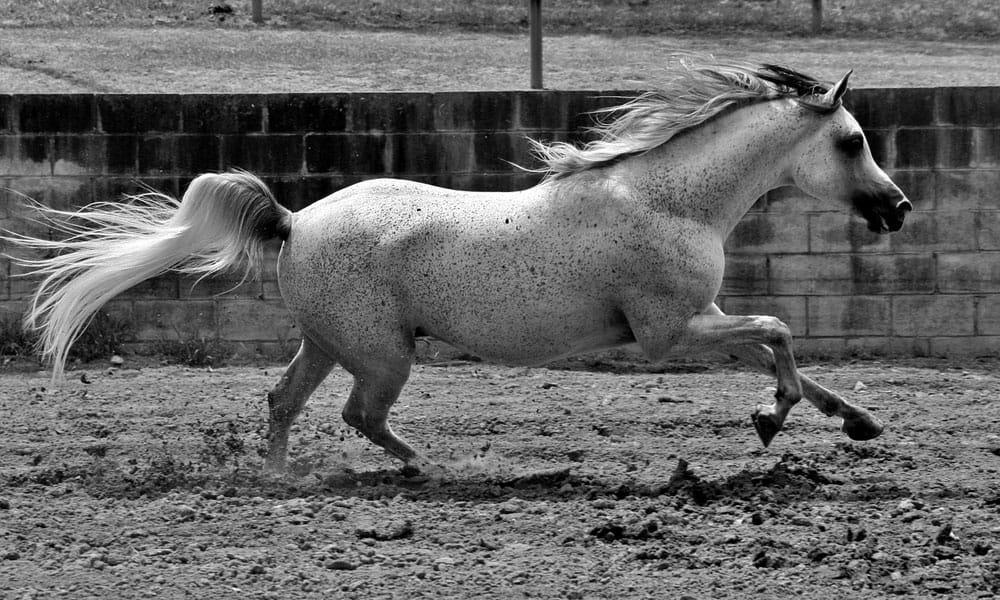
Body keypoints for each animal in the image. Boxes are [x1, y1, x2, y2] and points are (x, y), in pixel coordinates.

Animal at [5, 61, 910, 475]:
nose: (898, 208)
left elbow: (783, 350)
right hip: (382, 354)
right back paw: (425, 465)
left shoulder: (698, 322)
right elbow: (780, 332)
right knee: (358, 415)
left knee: (284, 402)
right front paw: (771, 417)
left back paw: (282, 477)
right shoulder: (668, 333)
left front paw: (854, 420)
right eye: (852, 141)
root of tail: (295, 222)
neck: (669, 198)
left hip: (329, 344)